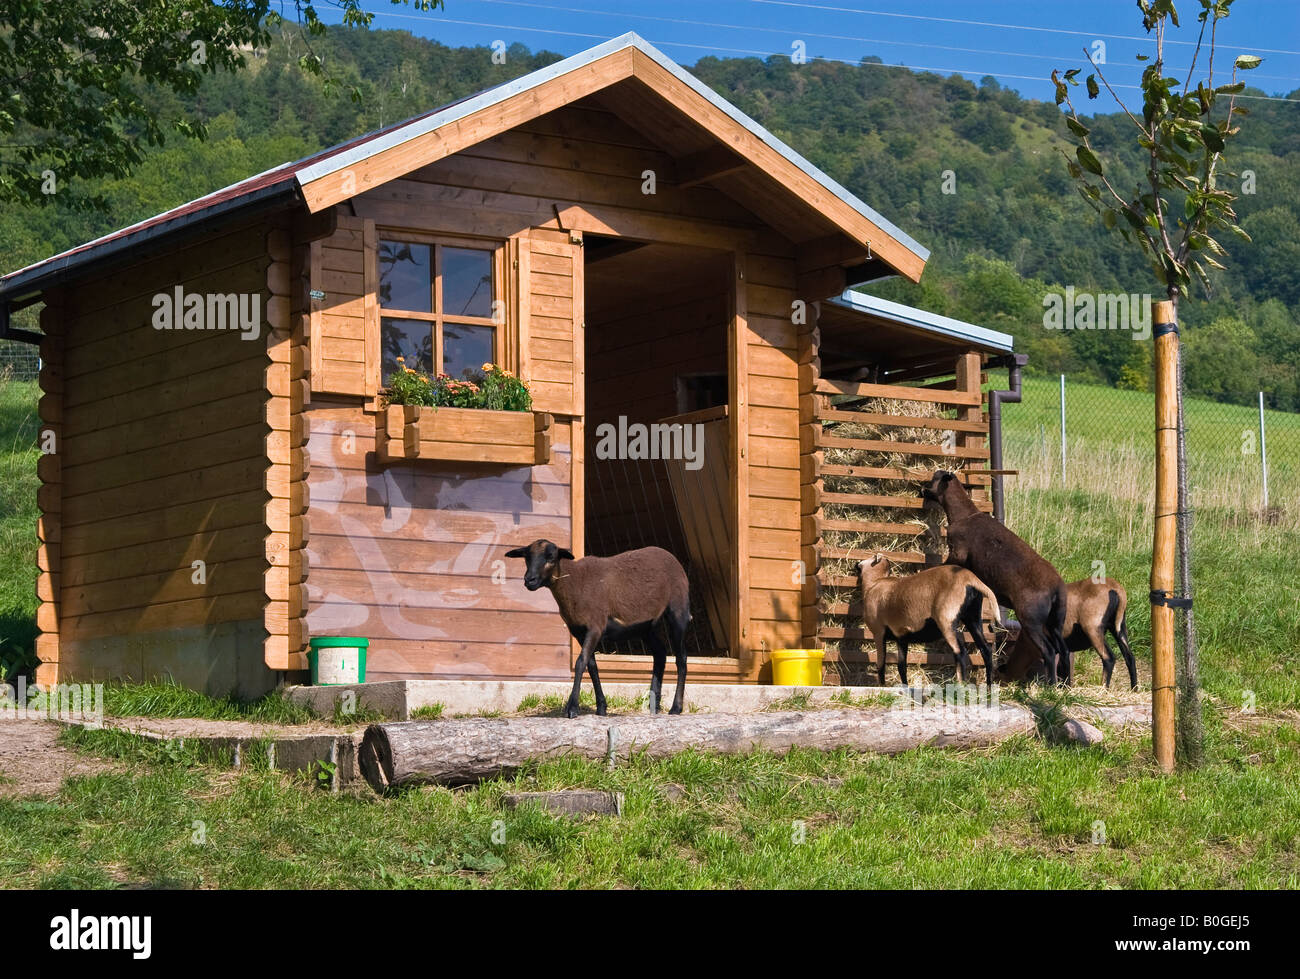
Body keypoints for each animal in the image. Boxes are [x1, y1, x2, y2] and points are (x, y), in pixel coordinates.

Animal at [505, 539, 691, 717]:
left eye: (551, 556)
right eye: (527, 557)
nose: (529, 580)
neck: (574, 583)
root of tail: (670, 556)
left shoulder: (596, 627)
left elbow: (580, 662)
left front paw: (572, 708)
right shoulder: (579, 631)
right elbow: (592, 666)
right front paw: (601, 707)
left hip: (678, 611)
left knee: (681, 658)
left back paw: (676, 708)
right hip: (647, 626)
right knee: (660, 655)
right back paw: (654, 706)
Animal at [858, 553, 1004, 685]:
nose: (857, 564)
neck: (874, 583)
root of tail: (970, 578)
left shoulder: (879, 632)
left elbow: (881, 664)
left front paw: (882, 686)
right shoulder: (901, 636)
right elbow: (901, 666)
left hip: (946, 620)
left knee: (960, 651)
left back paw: (960, 684)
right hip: (973, 617)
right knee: (985, 650)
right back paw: (988, 688)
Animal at [921, 470, 1072, 684]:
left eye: (934, 478)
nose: (921, 488)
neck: (964, 514)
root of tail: (1057, 588)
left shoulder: (957, 553)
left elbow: (945, 565)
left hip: (1031, 619)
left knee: (1049, 651)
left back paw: (1051, 686)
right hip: (1056, 620)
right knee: (1064, 650)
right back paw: (1065, 685)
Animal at [1000, 577, 1138, 690]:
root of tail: (1116, 589)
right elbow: (1063, 668)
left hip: (1093, 627)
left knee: (1108, 658)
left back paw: (1104, 689)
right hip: (1119, 627)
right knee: (1129, 657)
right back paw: (1134, 689)